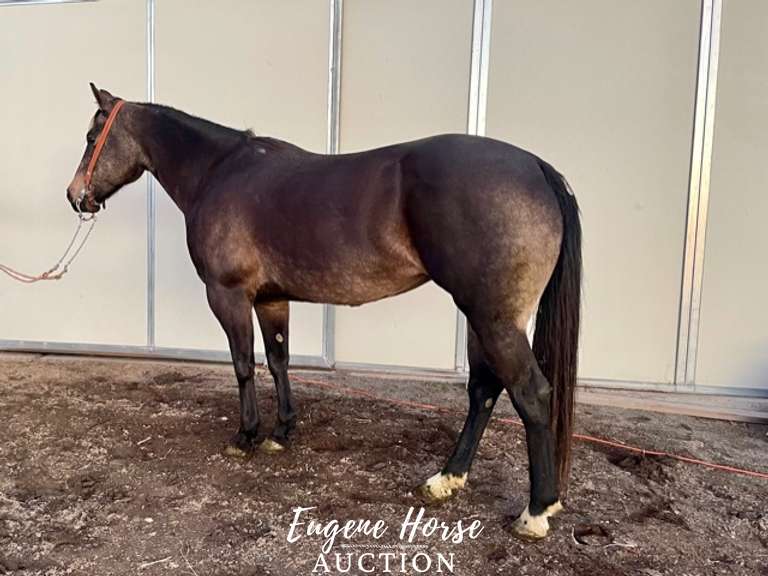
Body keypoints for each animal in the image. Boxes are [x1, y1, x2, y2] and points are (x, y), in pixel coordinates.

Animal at [66, 83, 581, 539]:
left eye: (92, 136)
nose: (75, 196)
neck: (219, 172)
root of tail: (536, 166)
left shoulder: (227, 295)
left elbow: (243, 365)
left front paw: (245, 436)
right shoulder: (271, 300)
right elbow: (278, 361)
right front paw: (280, 432)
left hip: (493, 320)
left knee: (530, 394)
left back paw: (536, 512)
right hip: (481, 318)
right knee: (483, 391)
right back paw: (447, 479)